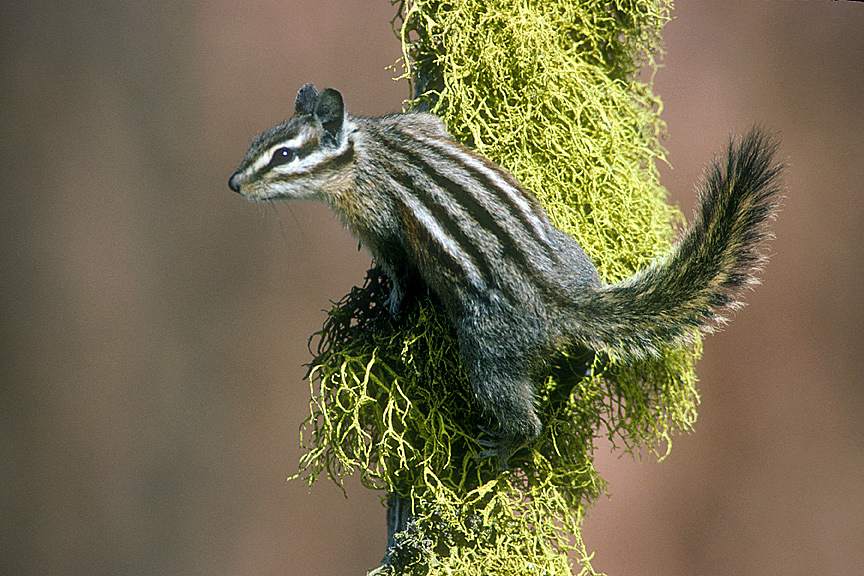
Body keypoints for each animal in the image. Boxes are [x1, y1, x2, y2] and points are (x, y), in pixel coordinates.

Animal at [229, 84, 783, 469]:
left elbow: (401, 268)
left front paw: (390, 304)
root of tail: (561, 299)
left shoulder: (378, 217)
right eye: (256, 143)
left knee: (519, 410)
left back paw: (505, 443)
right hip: (573, 257)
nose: (234, 183)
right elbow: (435, 120)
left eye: (284, 155)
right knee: (581, 353)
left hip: (487, 350)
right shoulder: (419, 125)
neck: (368, 148)